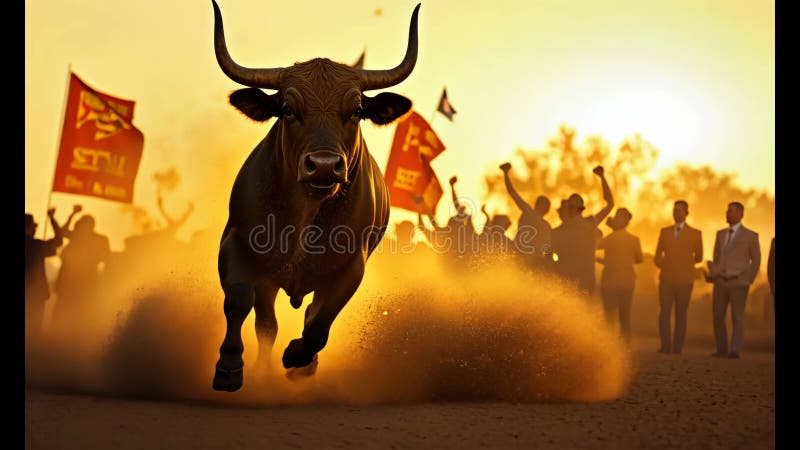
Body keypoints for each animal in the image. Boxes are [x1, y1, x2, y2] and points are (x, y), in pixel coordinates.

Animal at [210, 0, 420, 392]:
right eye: (287, 109)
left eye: (357, 110)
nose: (323, 166)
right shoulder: (236, 246)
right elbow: (239, 299)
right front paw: (229, 367)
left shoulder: (351, 267)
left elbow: (321, 323)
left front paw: (297, 356)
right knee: (266, 324)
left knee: (308, 314)